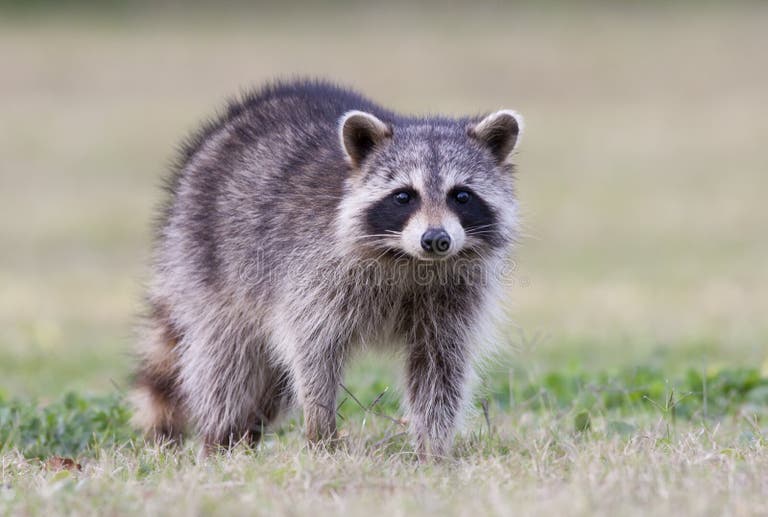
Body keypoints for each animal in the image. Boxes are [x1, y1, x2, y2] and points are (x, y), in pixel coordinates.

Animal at [131, 79, 523, 459]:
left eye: (461, 195)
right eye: (403, 196)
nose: (436, 239)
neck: (408, 259)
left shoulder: (455, 298)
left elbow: (439, 369)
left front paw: (434, 450)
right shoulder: (313, 275)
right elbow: (312, 353)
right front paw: (322, 434)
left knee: (267, 386)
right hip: (209, 264)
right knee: (227, 364)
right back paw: (220, 440)